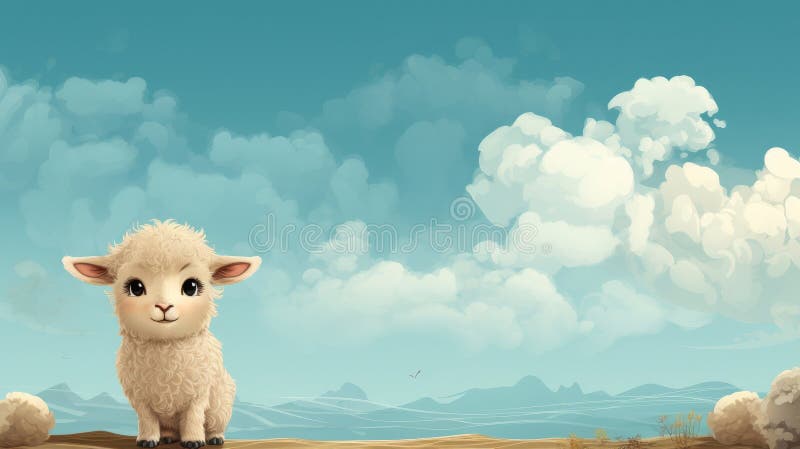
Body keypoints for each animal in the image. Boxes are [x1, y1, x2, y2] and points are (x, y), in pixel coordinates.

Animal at [62, 220, 261, 448]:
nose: (164, 306)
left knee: (215, 422)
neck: (165, 345)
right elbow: (147, 419)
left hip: (221, 404)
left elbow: (193, 417)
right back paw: (167, 436)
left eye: (191, 286)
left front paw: (193, 441)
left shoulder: (198, 393)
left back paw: (214, 437)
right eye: (135, 287)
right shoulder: (139, 397)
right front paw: (147, 439)